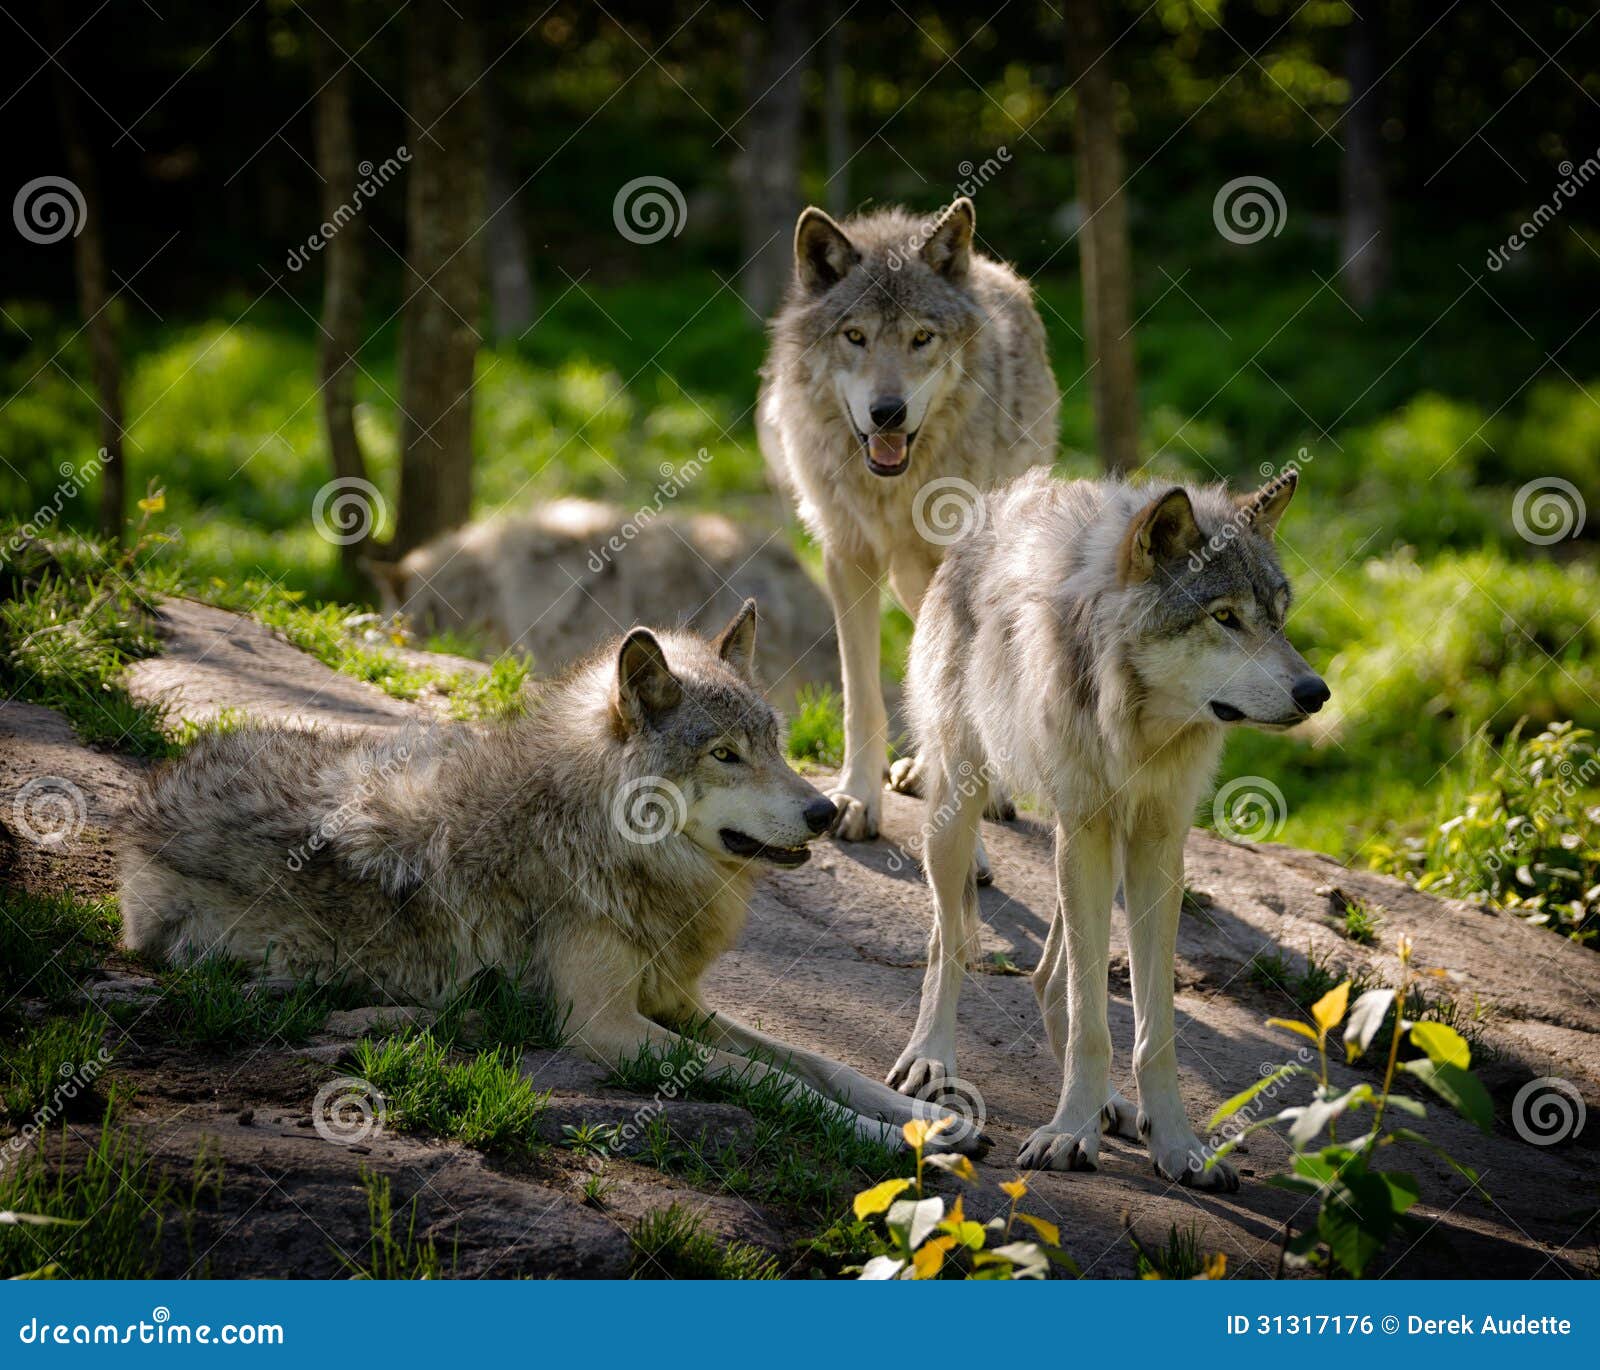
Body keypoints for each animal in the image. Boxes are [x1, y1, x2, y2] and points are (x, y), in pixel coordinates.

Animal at [118, 601, 979, 1153]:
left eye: (774, 743)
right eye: (724, 755)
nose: (827, 812)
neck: (599, 836)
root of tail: (148, 799)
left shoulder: (679, 1002)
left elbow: (823, 1063)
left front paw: (927, 1115)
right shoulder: (606, 1027)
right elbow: (773, 1081)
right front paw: (890, 1138)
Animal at [758, 197, 1059, 843]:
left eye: (922, 338)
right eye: (855, 336)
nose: (888, 412)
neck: (893, 490)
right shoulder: (847, 557)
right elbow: (861, 696)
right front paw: (855, 798)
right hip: (904, 577)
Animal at [885, 468, 1327, 1189]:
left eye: (1278, 620)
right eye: (1224, 617)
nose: (1316, 692)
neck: (1137, 724)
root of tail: (991, 506)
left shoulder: (1156, 843)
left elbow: (1152, 1027)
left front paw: (1175, 1142)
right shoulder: (1084, 828)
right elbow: (1093, 1021)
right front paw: (1069, 1134)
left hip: (1099, 850)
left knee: (1047, 980)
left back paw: (1113, 1104)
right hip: (959, 813)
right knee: (947, 943)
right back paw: (932, 1059)